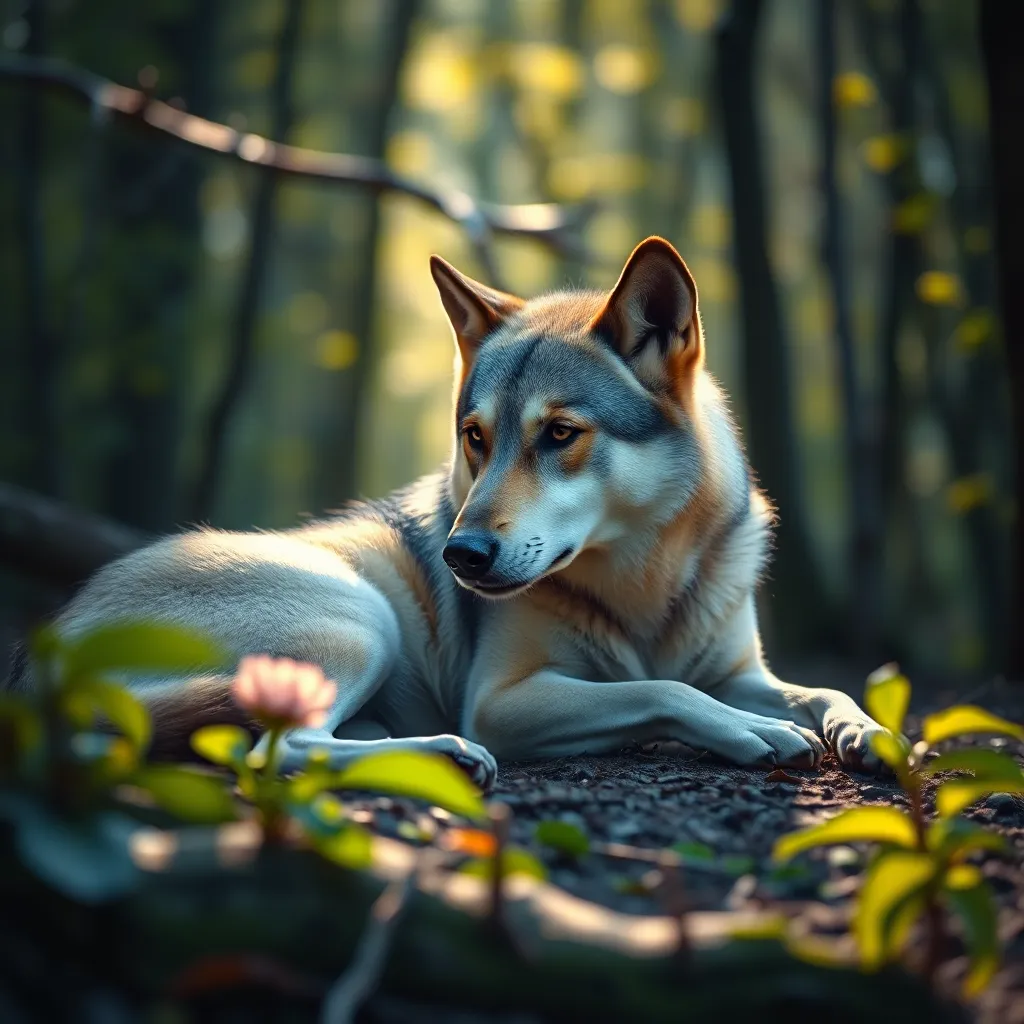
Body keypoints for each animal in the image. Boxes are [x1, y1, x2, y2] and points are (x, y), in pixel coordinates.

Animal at [13, 237, 887, 788]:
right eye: (476, 436)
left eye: (559, 434)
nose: (461, 557)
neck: (645, 584)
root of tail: (40, 661)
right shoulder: (501, 701)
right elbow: (664, 691)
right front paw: (754, 734)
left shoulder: (744, 671)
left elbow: (823, 690)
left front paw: (868, 733)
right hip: (356, 616)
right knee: (277, 749)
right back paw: (439, 752)